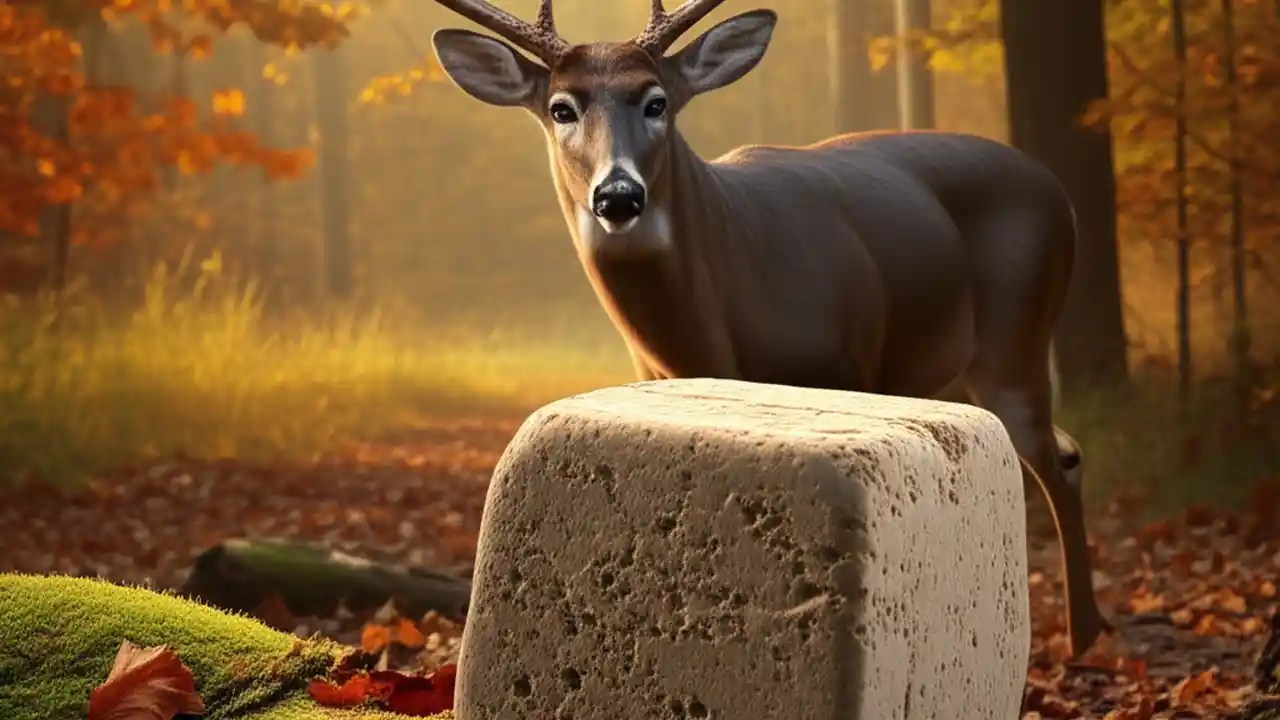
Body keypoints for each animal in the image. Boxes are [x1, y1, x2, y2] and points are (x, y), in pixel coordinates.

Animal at [427, 0, 1109, 657]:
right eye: (561, 108)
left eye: (656, 101)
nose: (618, 195)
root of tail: (1060, 193)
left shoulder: (845, 366)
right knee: (1056, 450)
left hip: (1017, 331)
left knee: (1053, 458)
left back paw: (1085, 641)